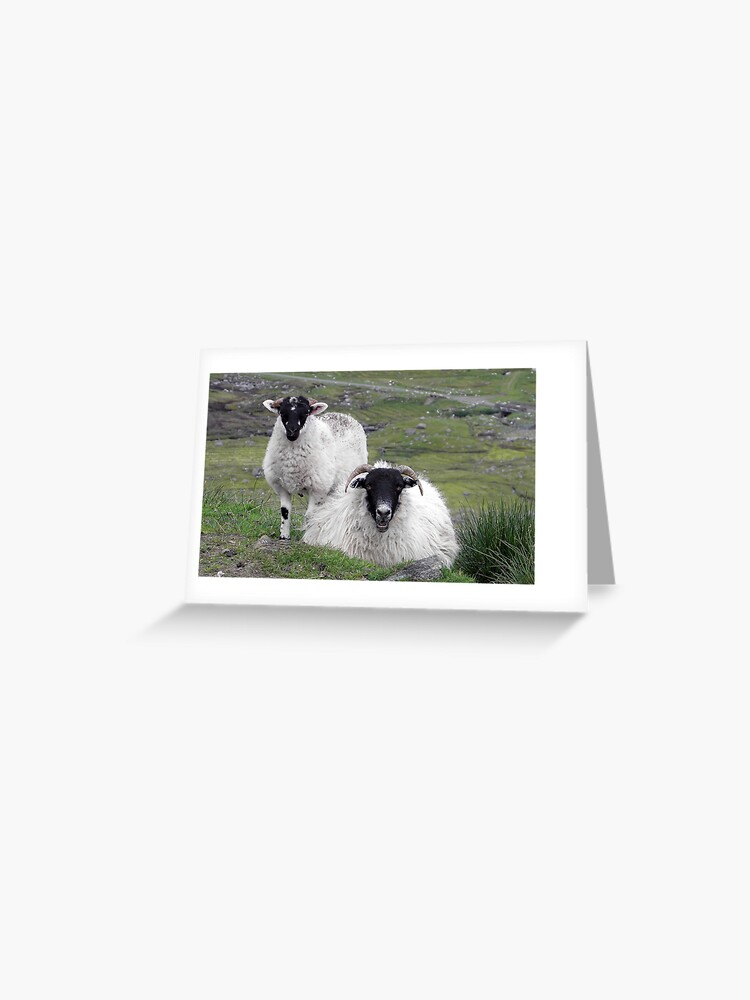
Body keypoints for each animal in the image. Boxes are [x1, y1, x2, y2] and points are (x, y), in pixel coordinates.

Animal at [262, 394, 368, 539]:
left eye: (306, 413)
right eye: (282, 412)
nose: (292, 432)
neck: (292, 463)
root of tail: (344, 415)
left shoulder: (317, 489)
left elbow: (309, 516)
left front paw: (307, 537)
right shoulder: (282, 488)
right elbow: (285, 513)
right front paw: (284, 536)